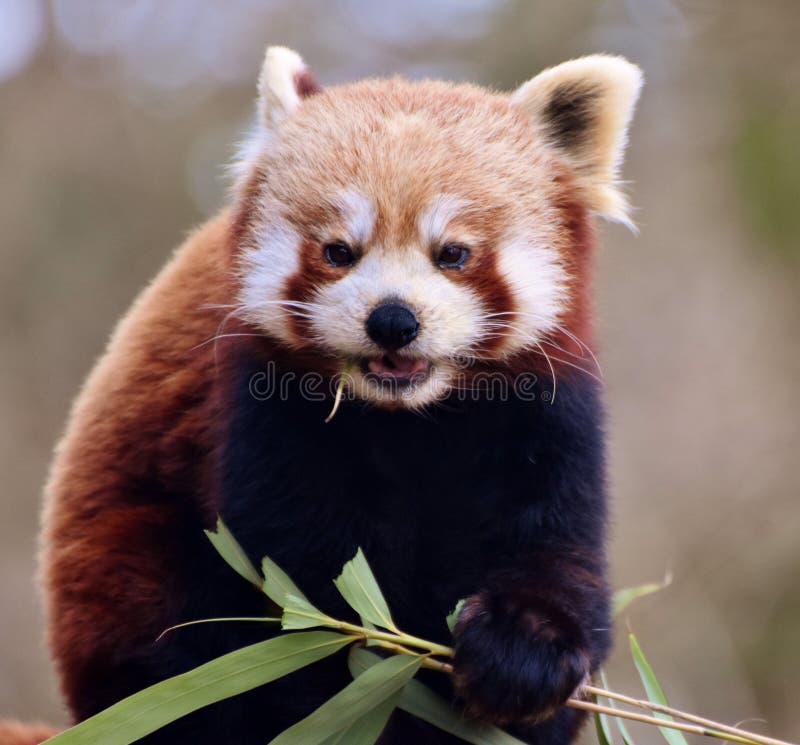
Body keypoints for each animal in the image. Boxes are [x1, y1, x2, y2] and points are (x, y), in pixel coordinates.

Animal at [32, 47, 641, 744]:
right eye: (338, 251)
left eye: (453, 254)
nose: (393, 320)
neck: (412, 418)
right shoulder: (265, 413)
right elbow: (306, 597)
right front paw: (355, 690)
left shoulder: (544, 406)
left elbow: (553, 545)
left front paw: (521, 657)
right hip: (129, 566)